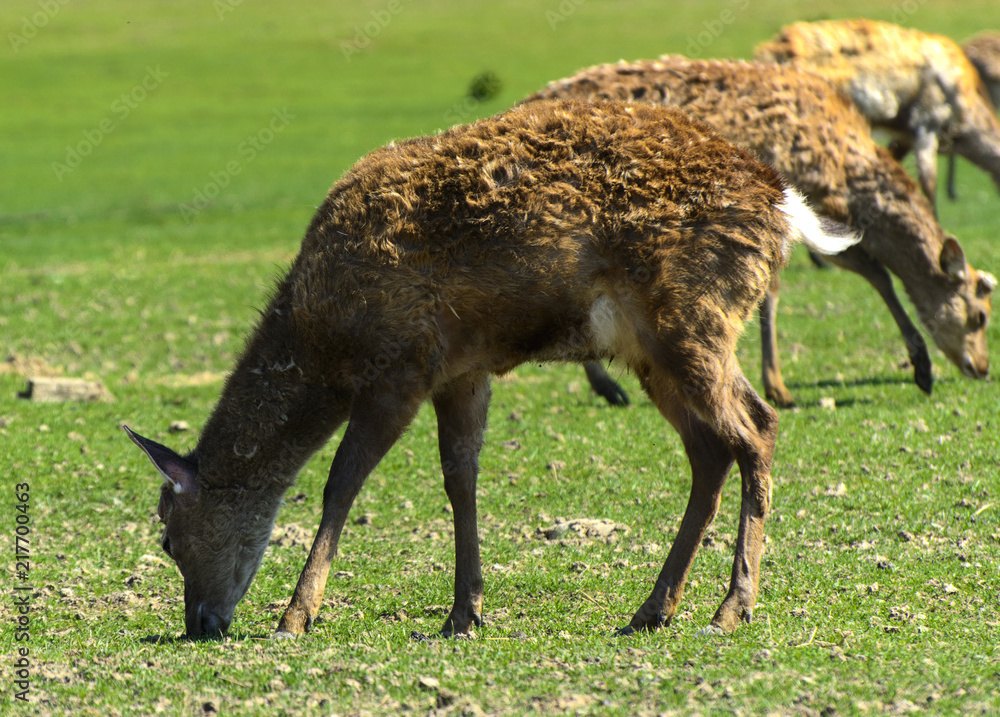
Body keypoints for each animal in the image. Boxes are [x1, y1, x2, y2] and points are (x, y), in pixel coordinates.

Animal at [124, 99, 860, 639]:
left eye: (169, 536)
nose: (200, 623)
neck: (324, 338)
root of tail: (785, 206)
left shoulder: (401, 364)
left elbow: (341, 483)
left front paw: (295, 615)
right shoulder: (461, 369)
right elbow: (460, 478)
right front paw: (464, 611)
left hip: (694, 318)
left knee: (756, 428)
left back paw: (731, 607)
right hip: (652, 349)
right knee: (711, 449)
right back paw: (653, 608)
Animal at [528, 57, 996, 408]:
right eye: (980, 315)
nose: (982, 367)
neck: (844, 169)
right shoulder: (803, 202)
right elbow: (867, 273)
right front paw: (920, 369)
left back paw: (605, 385)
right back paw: (607, 386)